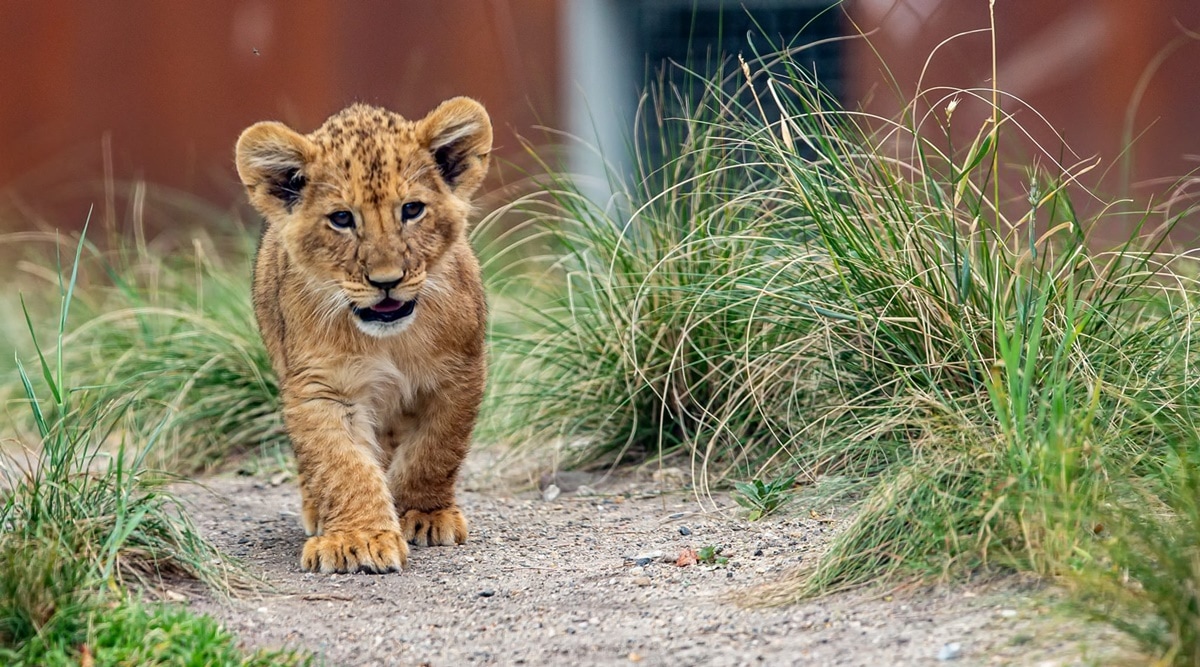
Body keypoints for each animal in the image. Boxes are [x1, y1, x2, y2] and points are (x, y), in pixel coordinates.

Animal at [233, 99, 490, 573]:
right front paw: (357, 538)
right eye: (341, 219)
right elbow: (342, 465)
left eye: (412, 210)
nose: (386, 281)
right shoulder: (321, 387)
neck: (388, 340)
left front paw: (424, 513)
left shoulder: (459, 373)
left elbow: (435, 450)